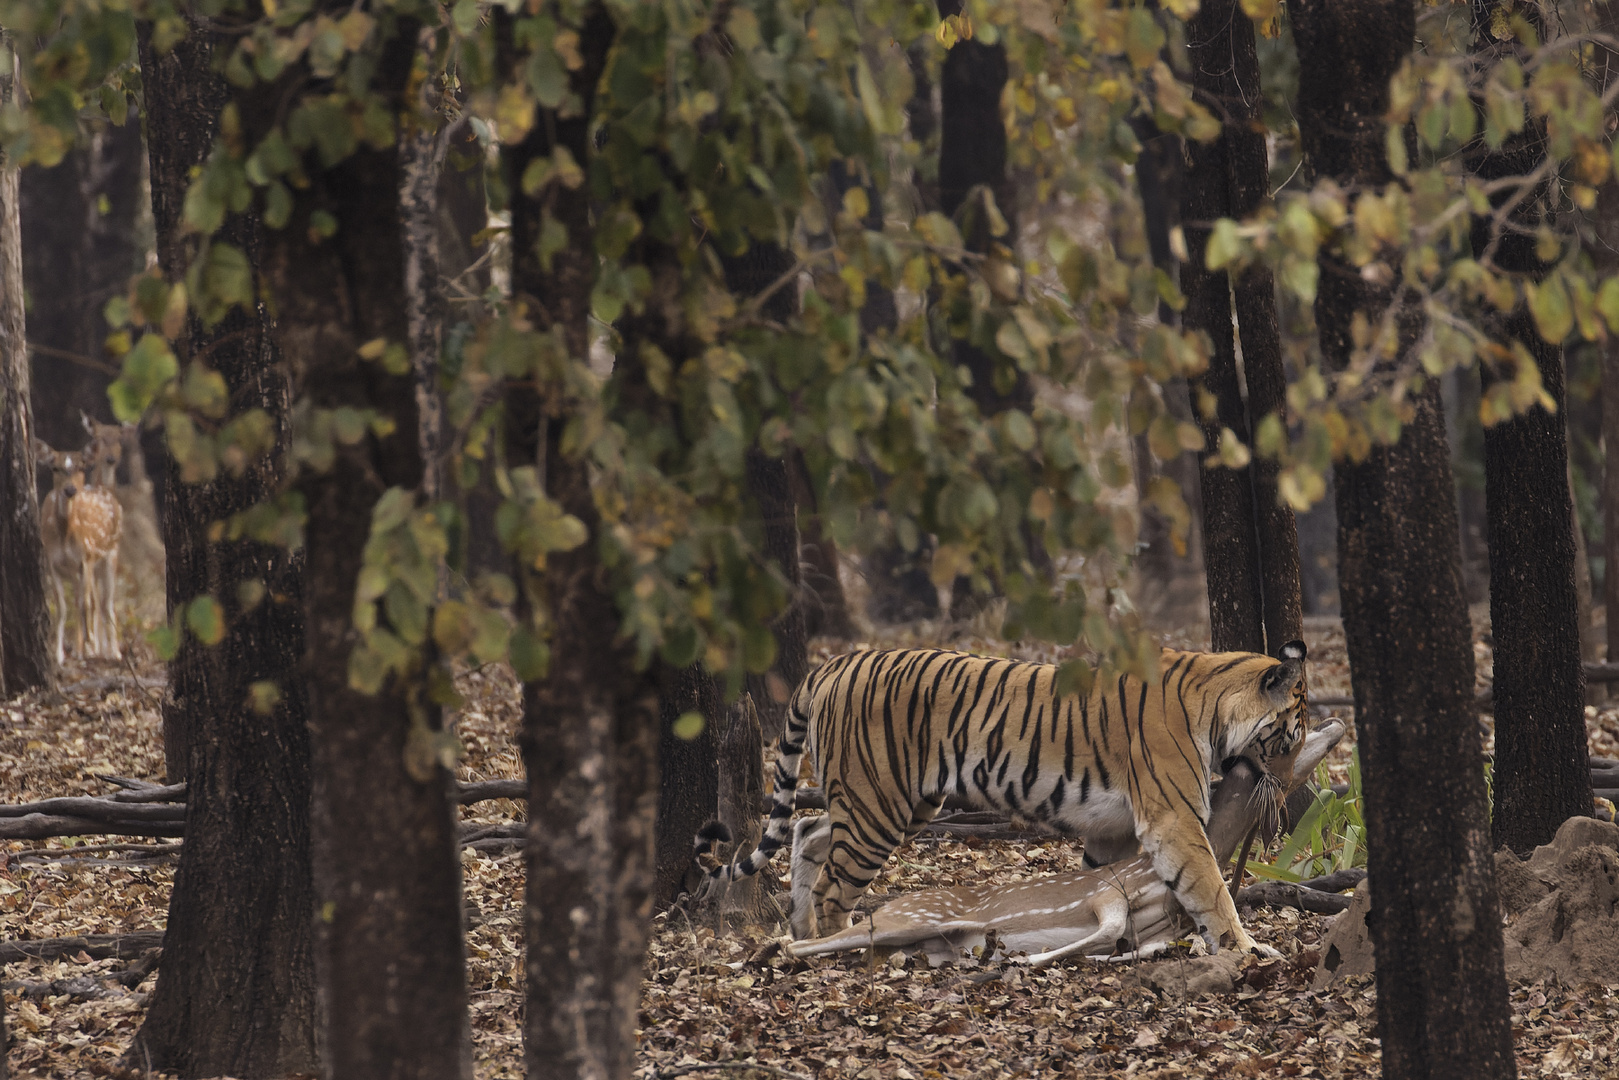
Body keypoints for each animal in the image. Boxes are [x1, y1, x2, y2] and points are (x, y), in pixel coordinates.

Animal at [692, 641, 1301, 952]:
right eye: (1291, 736)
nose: (1292, 785)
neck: (1214, 704)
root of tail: (833, 664)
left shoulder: (1114, 828)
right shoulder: (1172, 817)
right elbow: (1210, 887)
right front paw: (1241, 947)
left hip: (900, 804)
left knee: (807, 829)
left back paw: (798, 926)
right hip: (878, 805)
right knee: (834, 888)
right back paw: (842, 945)